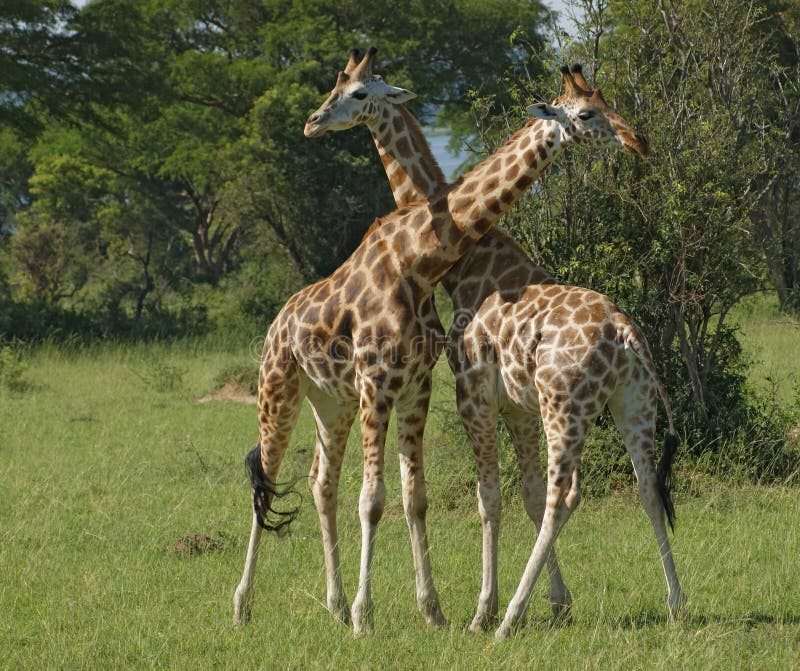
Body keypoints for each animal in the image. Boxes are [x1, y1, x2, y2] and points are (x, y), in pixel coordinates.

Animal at [233, 55, 651, 636]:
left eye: (357, 92)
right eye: (587, 112)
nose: (313, 121)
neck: (422, 261)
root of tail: (278, 322)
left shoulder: (421, 387)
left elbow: (424, 498)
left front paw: (438, 609)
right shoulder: (390, 384)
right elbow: (384, 499)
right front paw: (374, 615)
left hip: (334, 404)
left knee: (319, 482)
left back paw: (333, 604)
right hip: (285, 390)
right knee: (273, 481)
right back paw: (248, 605)